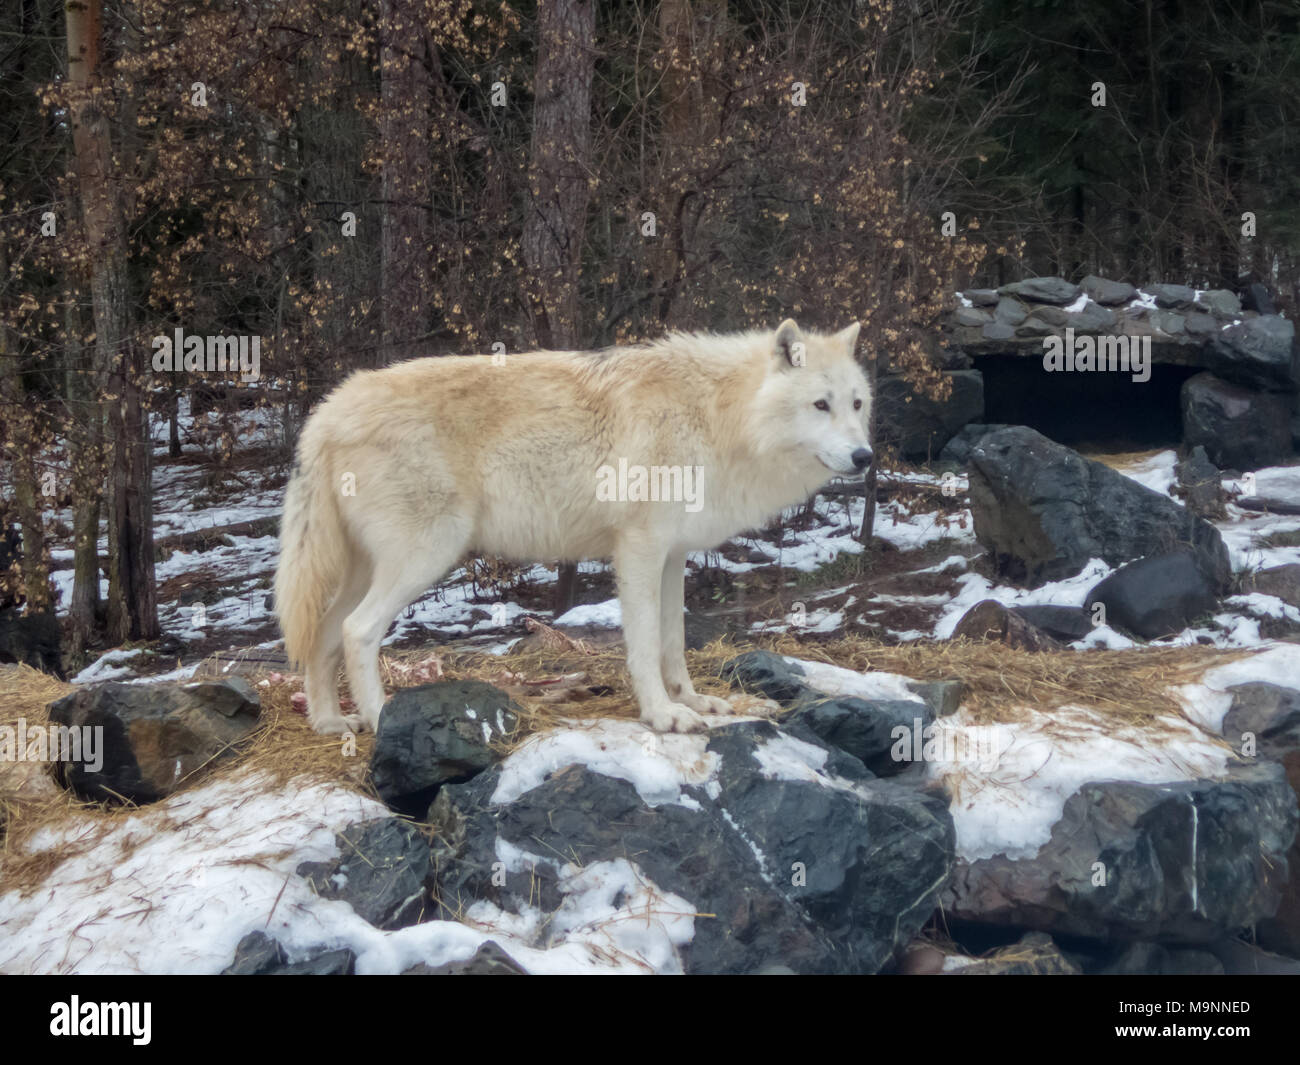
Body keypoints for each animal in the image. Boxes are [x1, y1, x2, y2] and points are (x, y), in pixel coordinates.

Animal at [275, 319, 872, 736]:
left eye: (858, 404)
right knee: (357, 632)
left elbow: (673, 642)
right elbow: (643, 645)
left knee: (322, 638)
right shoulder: (638, 550)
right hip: (424, 557)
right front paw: (663, 715)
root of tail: (326, 412)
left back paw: (330, 723)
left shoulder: (672, 554)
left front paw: (691, 701)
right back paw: (382, 721)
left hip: (362, 572)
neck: (719, 415)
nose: (865, 456)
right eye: (820, 405)